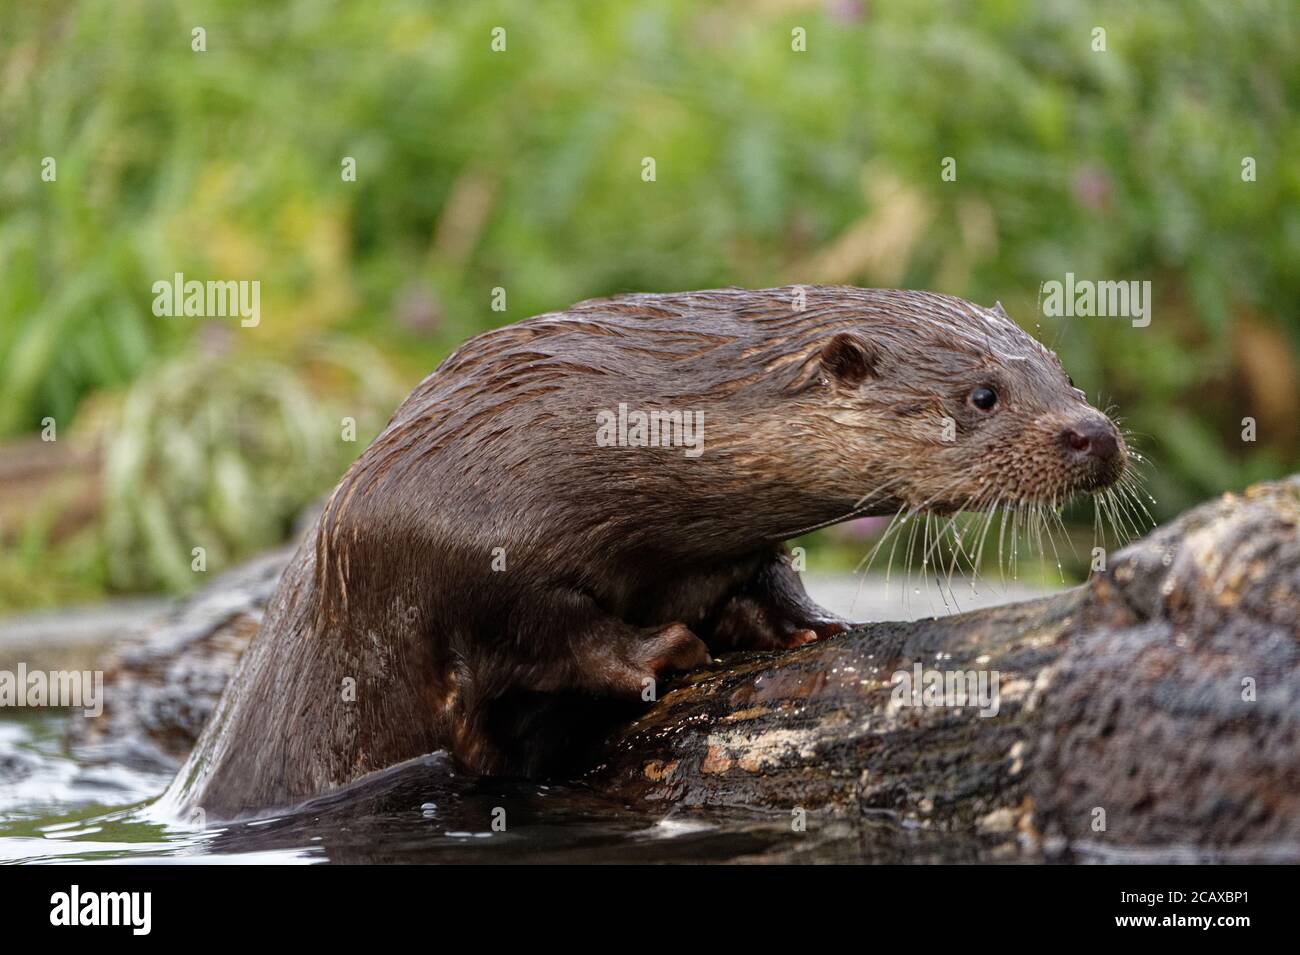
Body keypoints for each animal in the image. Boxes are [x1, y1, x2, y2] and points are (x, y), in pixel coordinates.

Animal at [165, 286, 1127, 819]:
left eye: (1067, 374)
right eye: (983, 395)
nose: (1095, 434)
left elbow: (758, 574)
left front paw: (805, 624)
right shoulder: (451, 533)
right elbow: (543, 631)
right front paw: (660, 650)